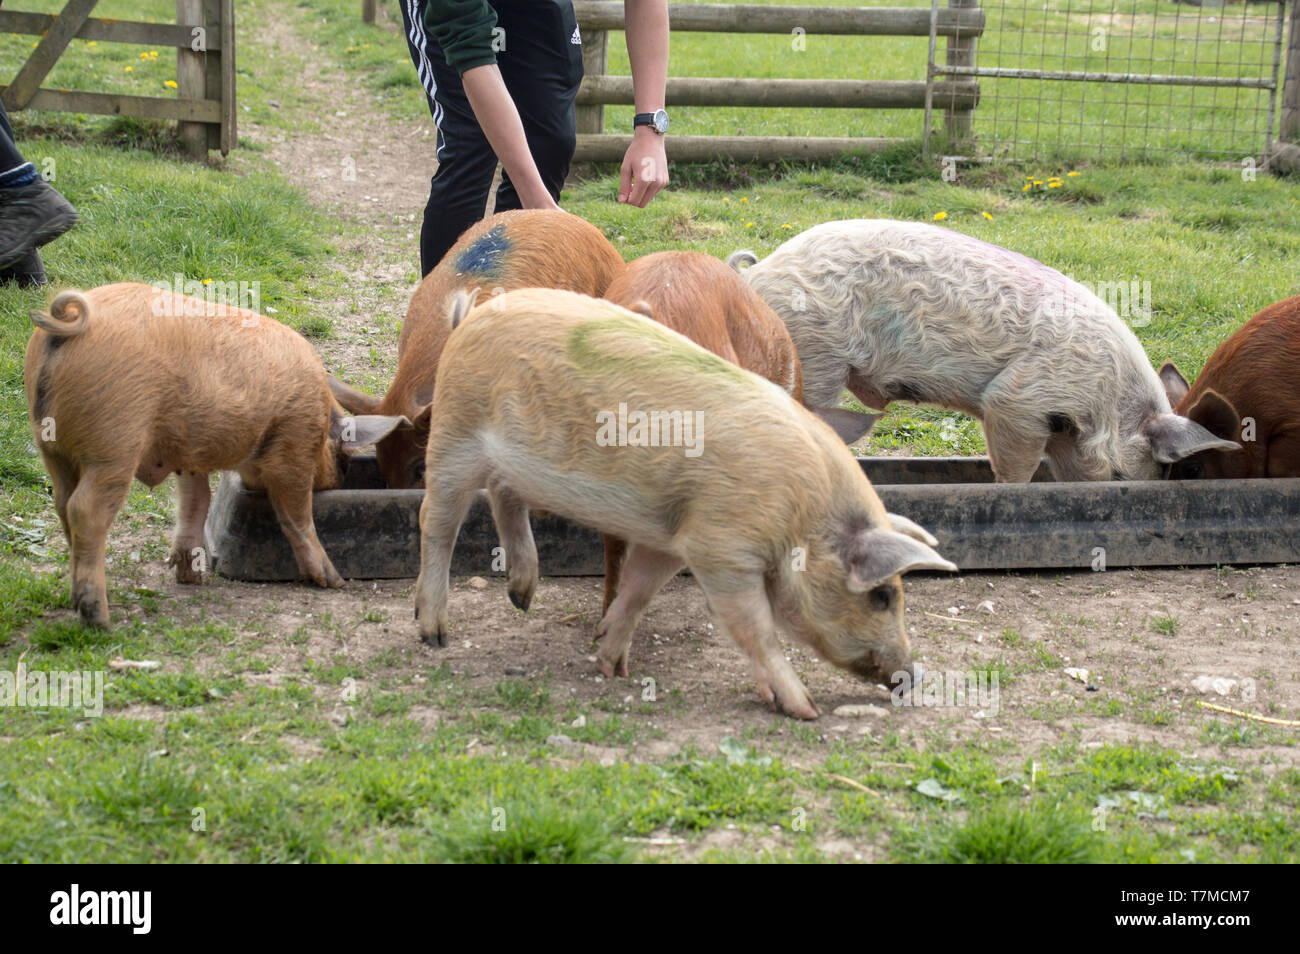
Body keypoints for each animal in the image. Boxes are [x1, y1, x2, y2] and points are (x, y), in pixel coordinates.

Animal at [24, 283, 408, 627]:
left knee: (63, 504)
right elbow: (296, 517)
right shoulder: (292, 448)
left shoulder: (188, 460)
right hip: (114, 444)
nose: (337, 480)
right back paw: (100, 619)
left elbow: (197, 502)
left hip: (51, 447)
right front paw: (335, 582)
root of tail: (70, 322)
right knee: (84, 510)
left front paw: (189, 578)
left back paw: (79, 602)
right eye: (342, 461)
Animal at [413, 288, 957, 719]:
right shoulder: (720, 547)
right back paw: (435, 633)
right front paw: (805, 709)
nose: (912, 676)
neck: (800, 520)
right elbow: (756, 629)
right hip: (453, 435)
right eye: (882, 596)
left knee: (503, 495)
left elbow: (639, 590)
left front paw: (611, 662)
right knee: (436, 522)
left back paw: (522, 598)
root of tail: (469, 317)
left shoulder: (674, 537)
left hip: (511, 463)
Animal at [733, 219, 1239, 482]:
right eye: (1124, 475)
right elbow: (1015, 466)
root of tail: (756, 275)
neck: (1110, 402)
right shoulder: (1018, 401)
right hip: (817, 356)